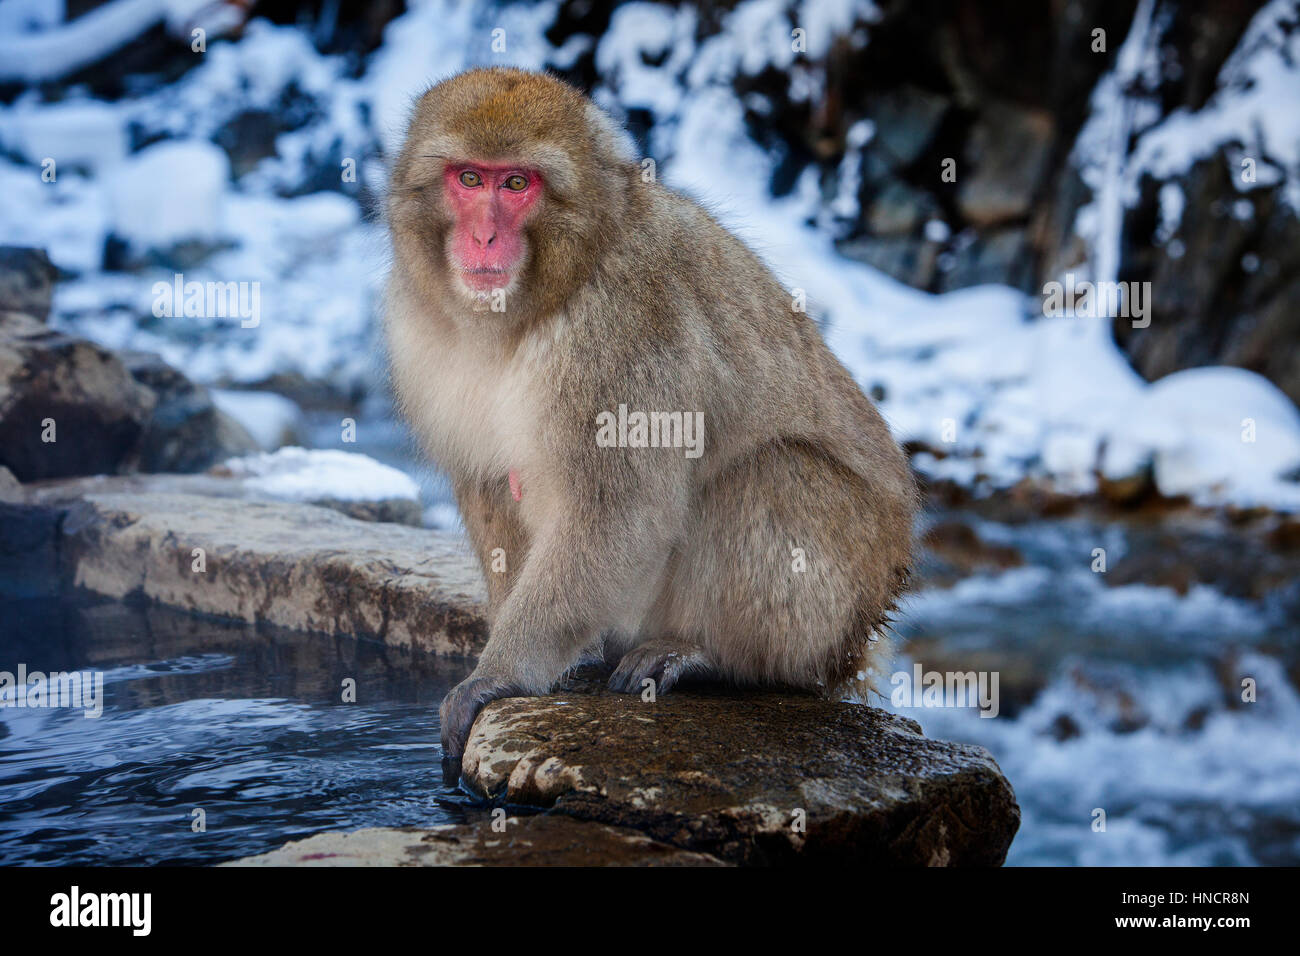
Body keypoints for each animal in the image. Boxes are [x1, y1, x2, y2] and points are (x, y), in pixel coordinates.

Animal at [384, 68, 917, 759]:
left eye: (517, 184)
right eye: (470, 179)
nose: (483, 237)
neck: (545, 295)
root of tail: (866, 627)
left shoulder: (624, 331)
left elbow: (618, 511)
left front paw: (499, 675)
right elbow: (490, 485)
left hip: (844, 589)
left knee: (769, 473)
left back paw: (716, 658)